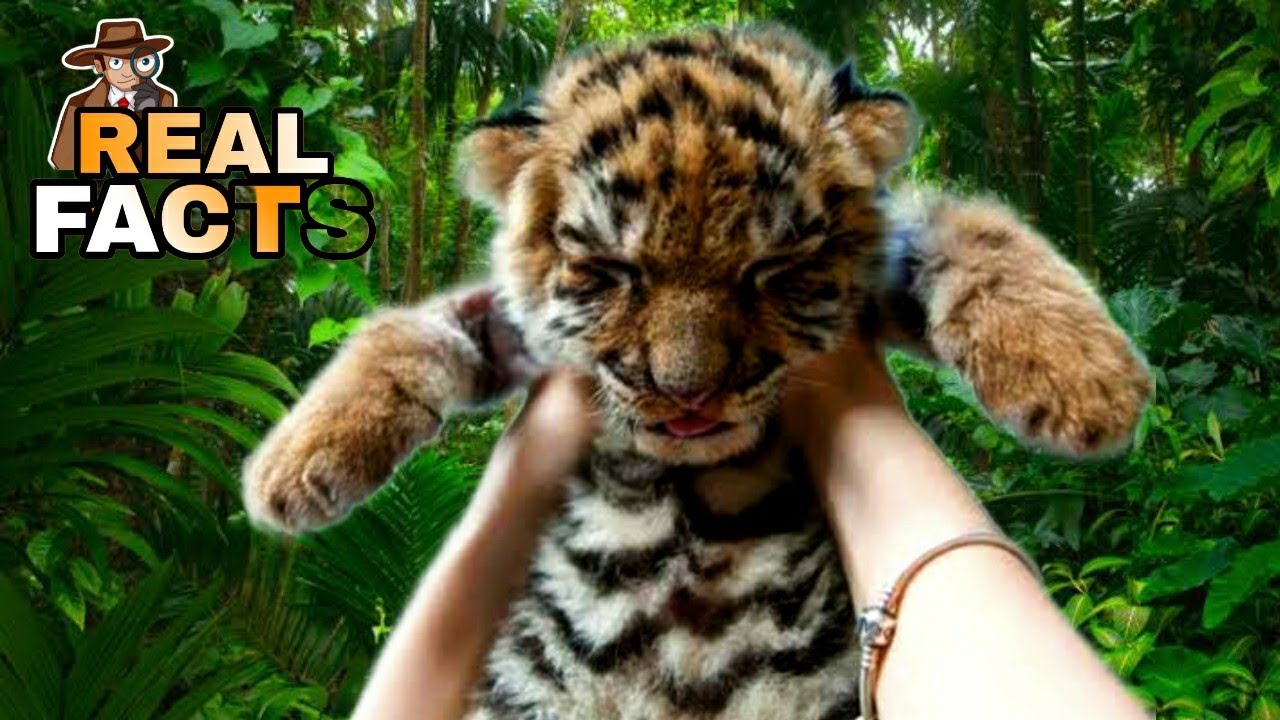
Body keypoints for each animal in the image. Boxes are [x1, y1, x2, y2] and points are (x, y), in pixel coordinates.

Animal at [241, 26, 1151, 719]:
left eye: (772, 268)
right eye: (613, 271)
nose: (688, 392)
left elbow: (975, 229)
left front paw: (1087, 378)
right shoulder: (510, 326)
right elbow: (408, 329)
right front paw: (292, 469)